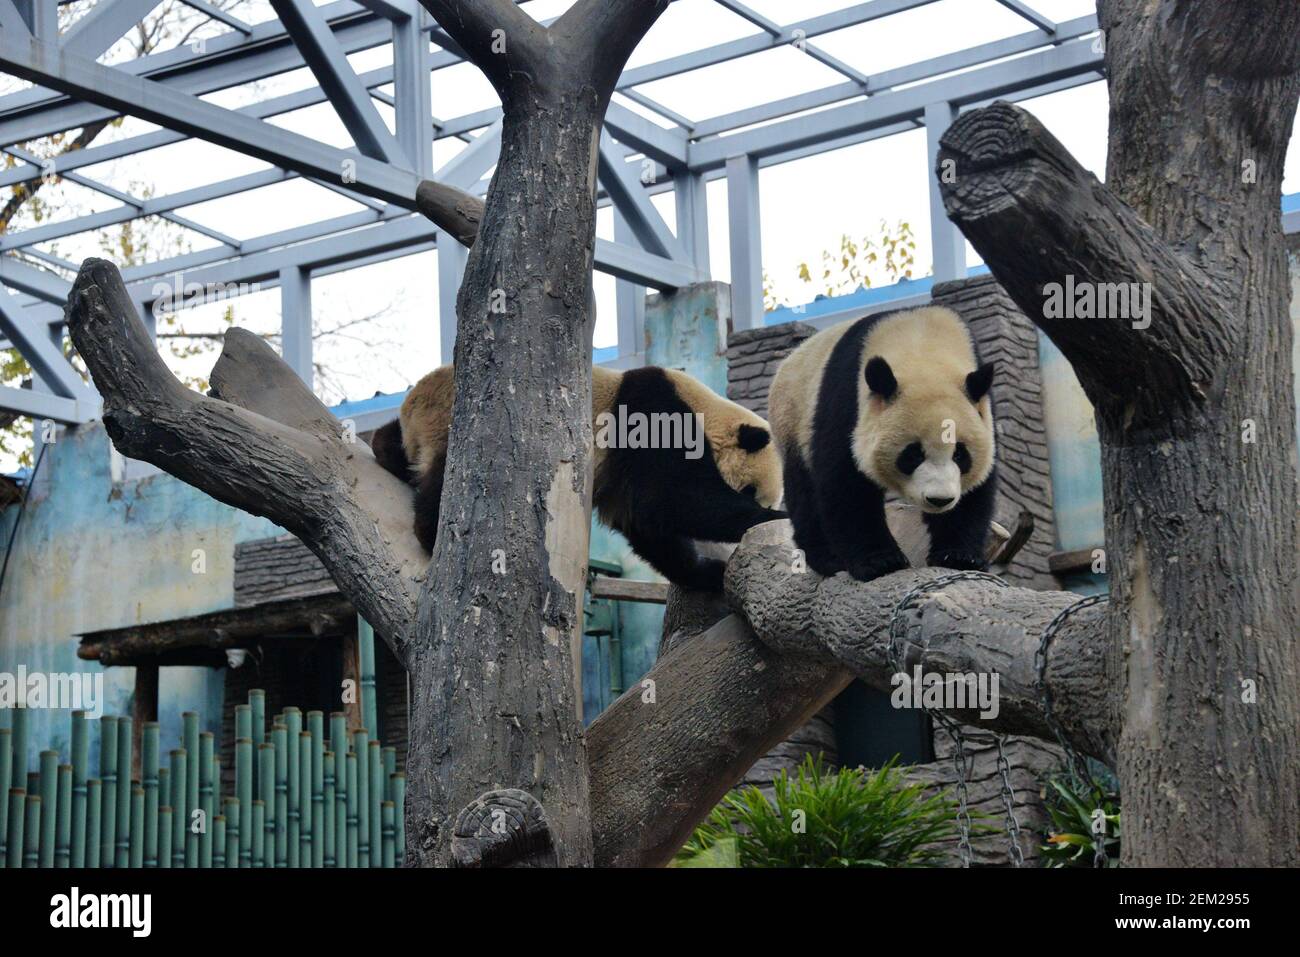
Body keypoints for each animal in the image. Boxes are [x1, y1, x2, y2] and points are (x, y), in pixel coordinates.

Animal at [370, 364, 786, 591]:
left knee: (396, 448)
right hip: (462, 423)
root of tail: (412, 406)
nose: (764, 503)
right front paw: (770, 519)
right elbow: (673, 498)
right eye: (751, 491)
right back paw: (430, 530)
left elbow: (646, 525)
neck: (705, 411)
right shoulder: (652, 417)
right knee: (447, 479)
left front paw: (706, 573)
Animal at [768, 305, 996, 582]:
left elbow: (976, 491)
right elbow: (846, 482)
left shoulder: (982, 407)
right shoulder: (848, 398)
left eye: (960, 455)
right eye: (913, 455)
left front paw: (958, 556)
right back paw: (828, 560)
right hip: (792, 419)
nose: (939, 500)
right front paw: (880, 562)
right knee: (804, 491)